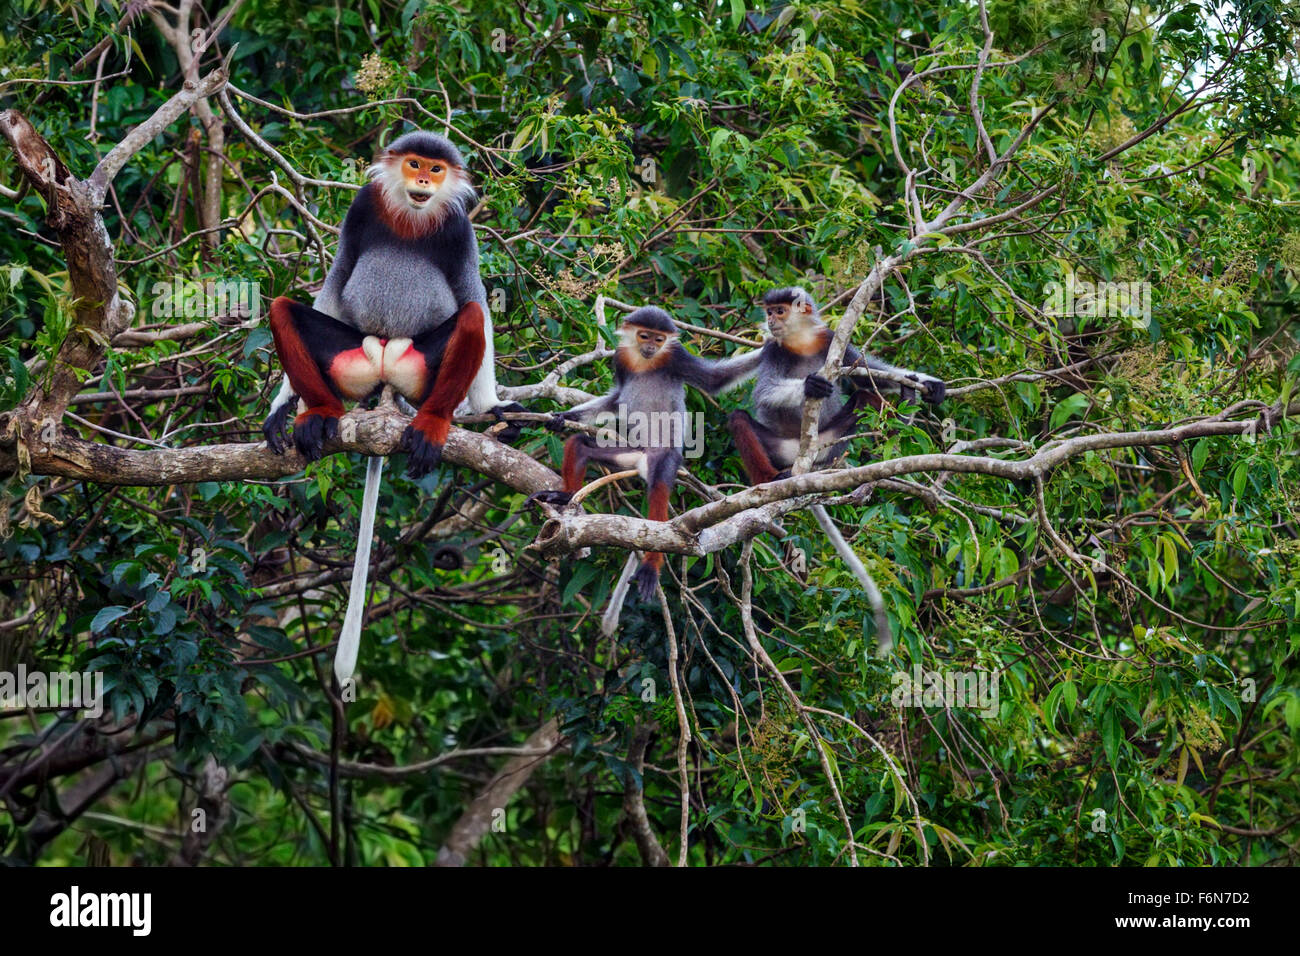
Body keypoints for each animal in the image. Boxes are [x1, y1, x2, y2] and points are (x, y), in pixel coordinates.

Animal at [260, 130, 515, 685]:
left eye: (437, 170)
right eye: (415, 164)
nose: (423, 181)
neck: (410, 216)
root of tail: (383, 378)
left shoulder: (459, 230)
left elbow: (476, 299)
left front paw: (491, 405)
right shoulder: (361, 208)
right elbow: (335, 283)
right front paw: (282, 405)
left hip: (416, 374)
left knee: (469, 316)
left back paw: (434, 425)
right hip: (352, 361)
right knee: (283, 308)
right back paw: (316, 414)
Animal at [537, 306, 761, 601]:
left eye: (659, 338)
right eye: (644, 335)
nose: (651, 347)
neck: (644, 361)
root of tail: (642, 460)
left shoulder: (675, 356)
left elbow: (715, 381)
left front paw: (774, 346)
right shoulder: (621, 357)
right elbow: (616, 399)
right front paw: (563, 417)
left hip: (663, 457)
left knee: (660, 508)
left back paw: (651, 566)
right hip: (626, 454)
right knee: (580, 444)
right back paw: (567, 495)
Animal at [727, 286, 945, 485]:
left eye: (780, 311)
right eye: (770, 312)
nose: (770, 321)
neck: (800, 342)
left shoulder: (829, 337)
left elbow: (866, 377)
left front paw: (930, 384)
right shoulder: (773, 348)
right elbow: (763, 391)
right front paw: (810, 385)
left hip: (830, 444)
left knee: (863, 398)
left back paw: (902, 418)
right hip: (779, 449)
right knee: (739, 418)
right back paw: (769, 479)